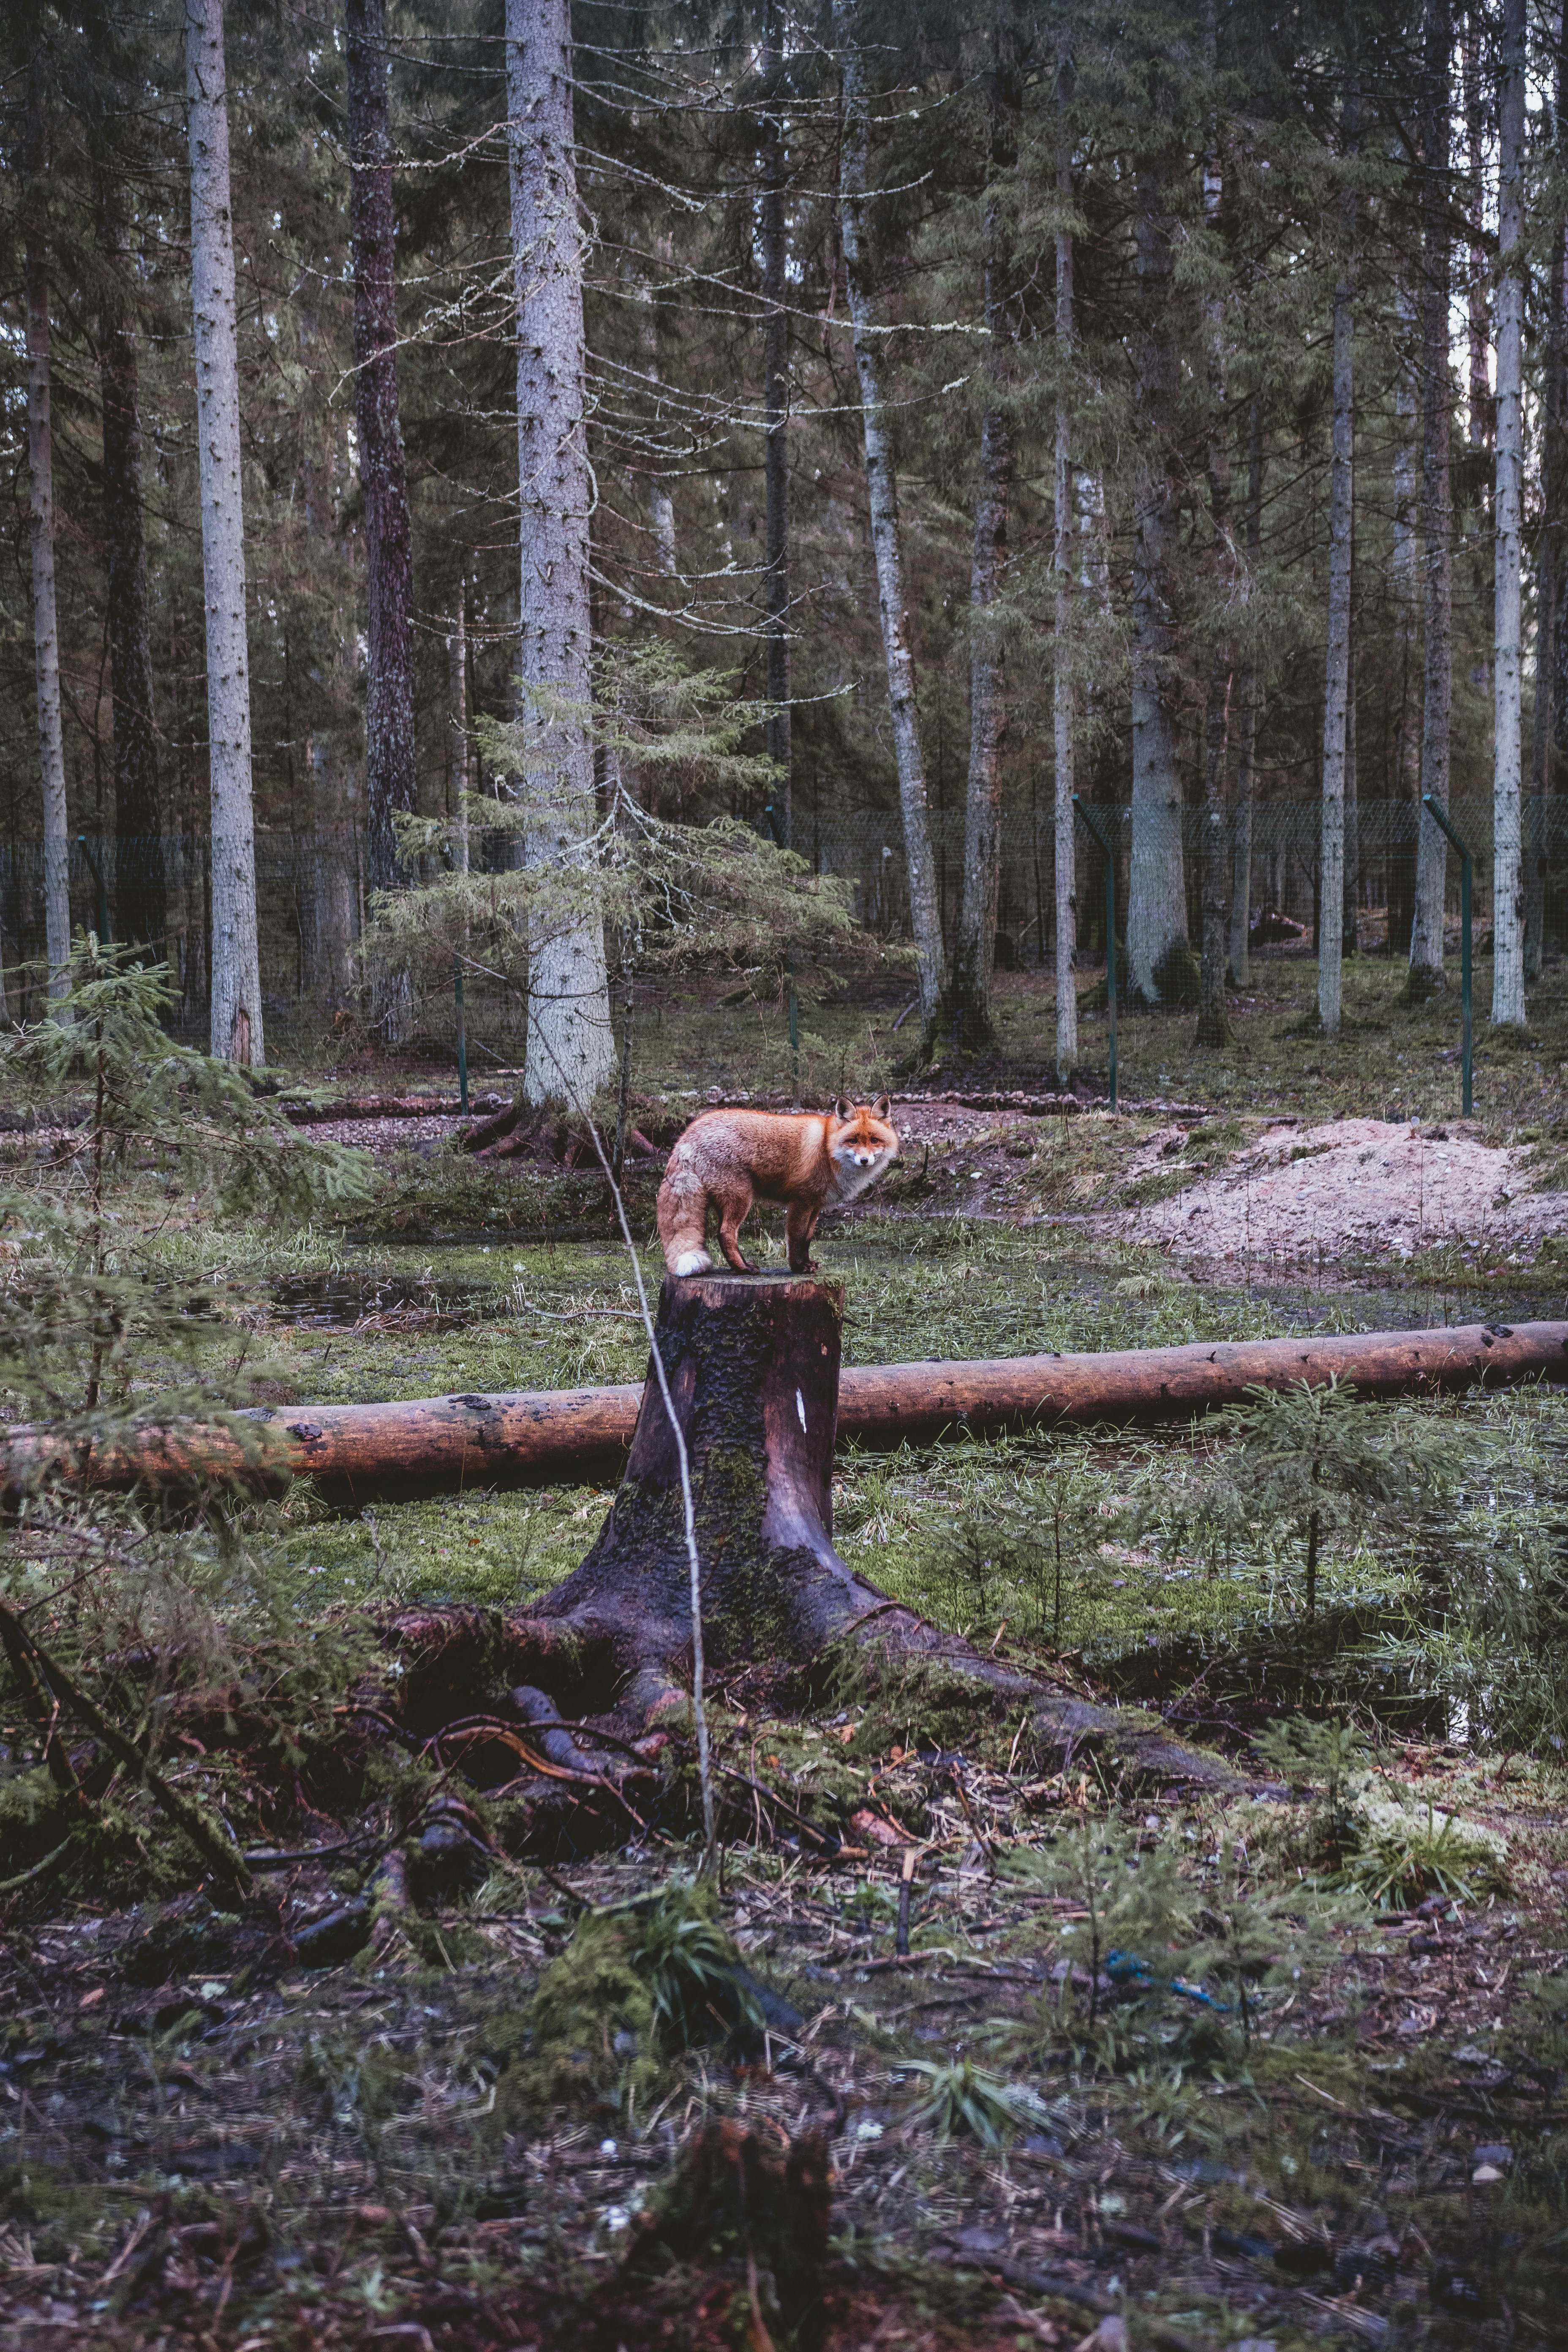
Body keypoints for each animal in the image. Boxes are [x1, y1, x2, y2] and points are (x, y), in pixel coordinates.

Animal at [657, 1097, 899, 1277]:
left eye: (875, 1140)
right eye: (853, 1141)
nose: (865, 1161)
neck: (827, 1149)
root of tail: (685, 1137)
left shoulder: (816, 1205)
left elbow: (807, 1238)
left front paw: (807, 1264)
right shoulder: (801, 1201)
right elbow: (797, 1238)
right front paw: (798, 1268)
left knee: (720, 1233)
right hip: (741, 1198)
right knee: (725, 1233)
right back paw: (744, 1269)